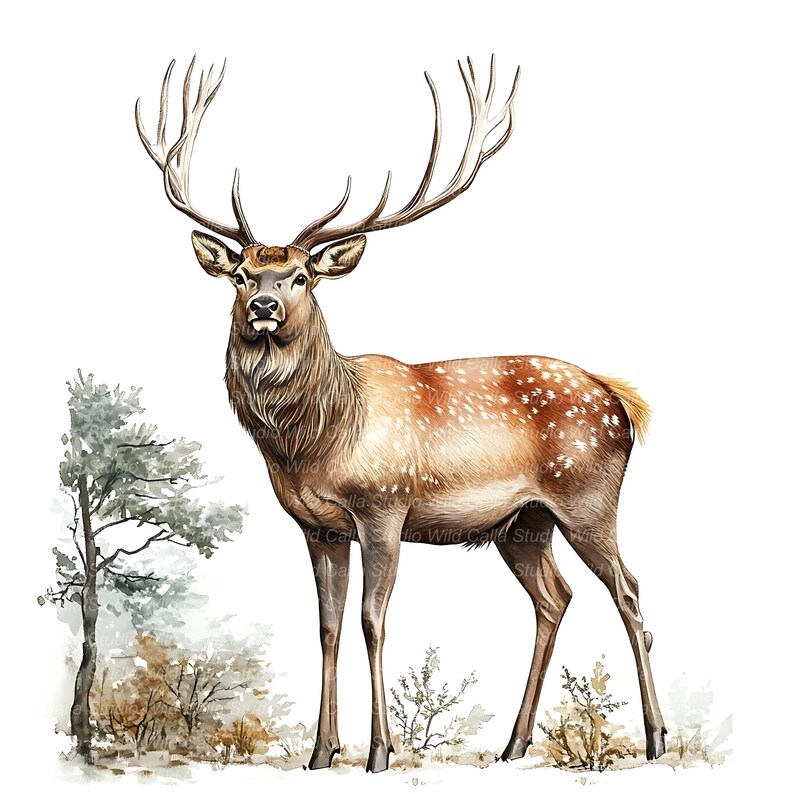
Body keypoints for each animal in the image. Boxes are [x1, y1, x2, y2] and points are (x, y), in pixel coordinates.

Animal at [136, 57, 667, 773]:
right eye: (242, 273)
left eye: (301, 276)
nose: (264, 307)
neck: (318, 438)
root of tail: (621, 398)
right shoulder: (318, 526)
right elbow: (327, 624)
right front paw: (321, 751)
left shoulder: (384, 505)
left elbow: (372, 619)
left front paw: (379, 751)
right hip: (523, 524)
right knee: (555, 598)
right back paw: (513, 744)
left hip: (588, 498)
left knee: (629, 591)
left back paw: (656, 738)